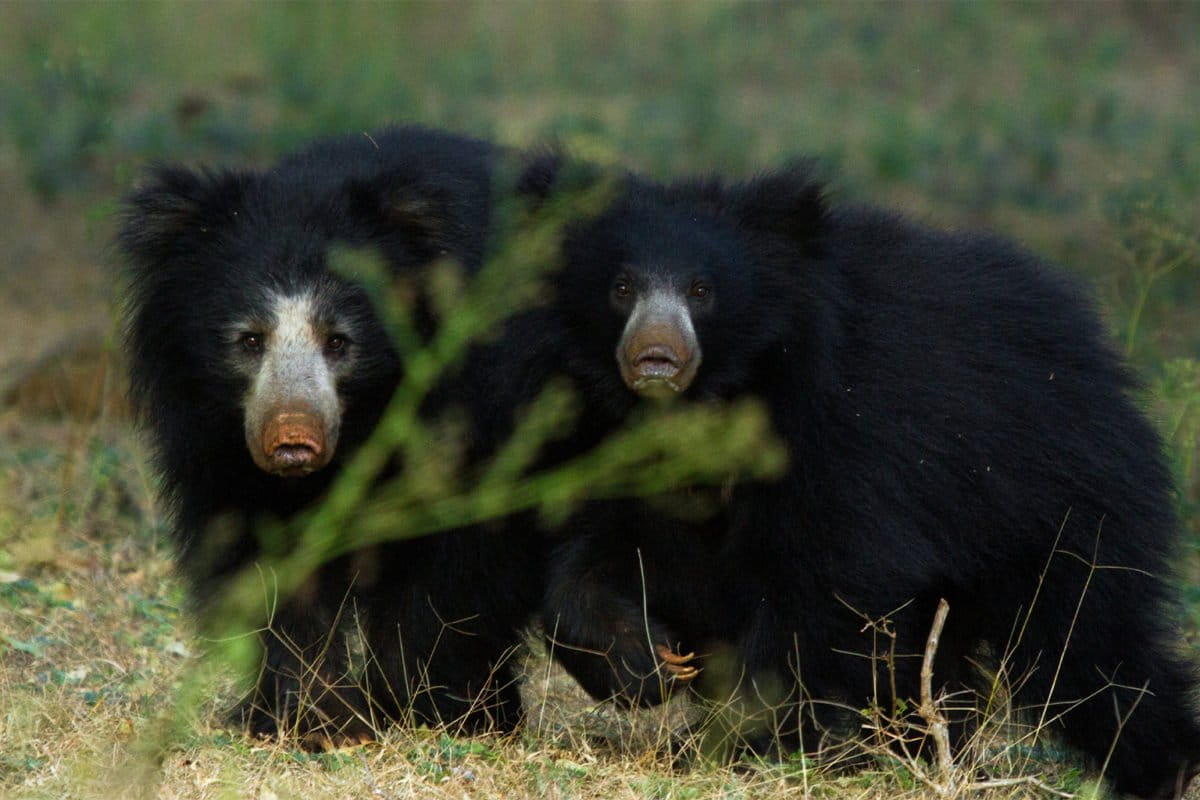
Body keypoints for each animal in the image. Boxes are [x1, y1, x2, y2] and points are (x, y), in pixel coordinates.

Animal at [117, 125, 544, 746]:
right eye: (249, 340)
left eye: (339, 341)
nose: (292, 437)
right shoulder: (217, 444)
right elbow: (270, 565)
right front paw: (312, 719)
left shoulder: (477, 405)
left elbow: (455, 561)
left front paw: (434, 710)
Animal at [524, 157, 1200, 798]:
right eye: (620, 288)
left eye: (701, 290)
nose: (656, 357)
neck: (716, 402)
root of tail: (1101, 355)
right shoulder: (617, 441)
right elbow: (608, 553)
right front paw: (646, 663)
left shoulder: (846, 434)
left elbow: (826, 585)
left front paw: (723, 736)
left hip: (1055, 492)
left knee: (1087, 637)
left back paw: (1162, 768)